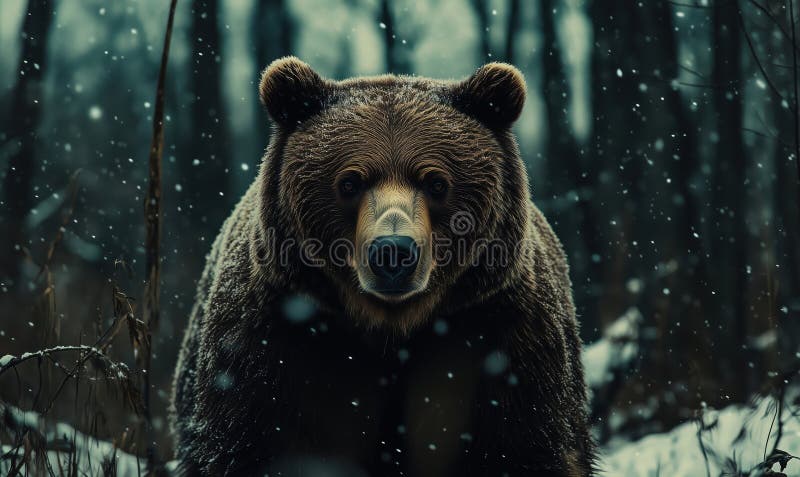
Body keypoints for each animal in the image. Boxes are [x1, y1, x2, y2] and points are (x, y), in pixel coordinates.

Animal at [170, 57, 594, 476]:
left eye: (436, 183)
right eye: (349, 182)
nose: (393, 251)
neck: (392, 326)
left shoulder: (498, 331)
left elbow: (525, 444)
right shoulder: (275, 335)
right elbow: (249, 437)